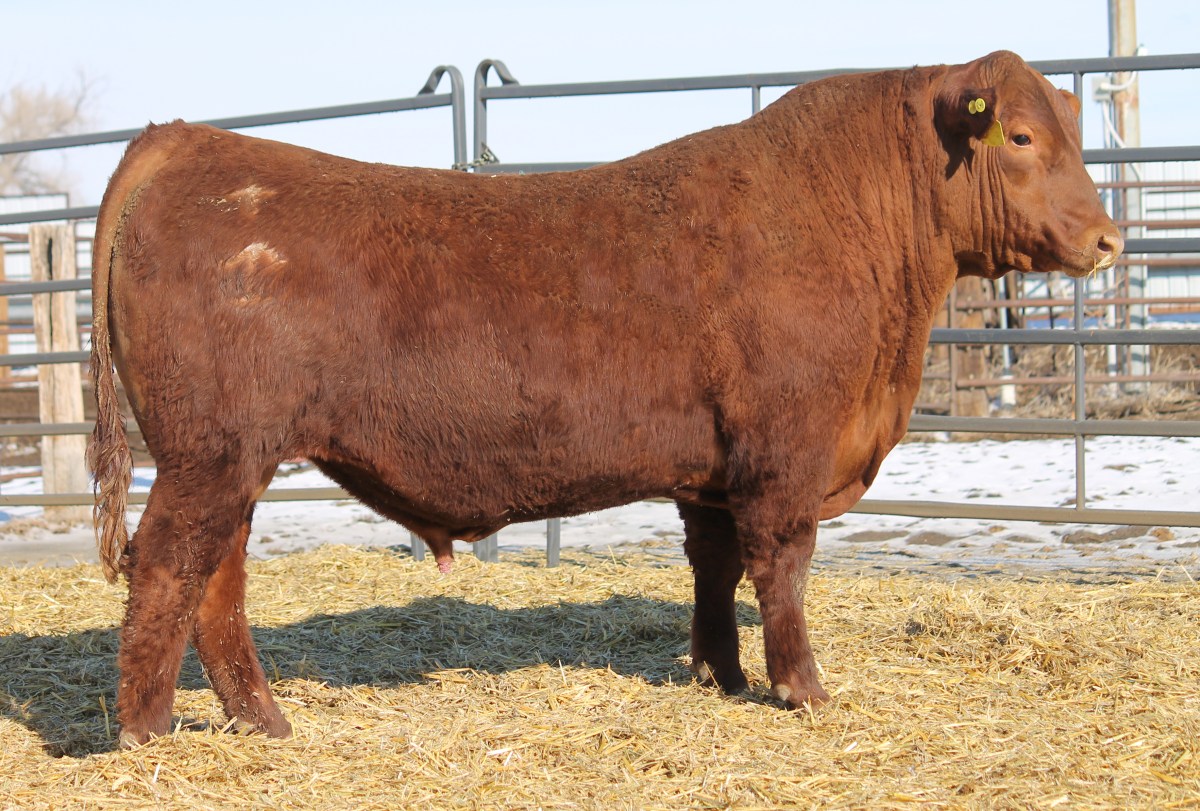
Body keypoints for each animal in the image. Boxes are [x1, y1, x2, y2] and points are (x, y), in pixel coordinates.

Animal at [88, 50, 1121, 748]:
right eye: (1021, 136)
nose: (1108, 239)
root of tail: (187, 140)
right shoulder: (785, 457)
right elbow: (781, 571)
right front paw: (802, 688)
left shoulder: (714, 469)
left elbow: (714, 568)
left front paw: (720, 673)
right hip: (210, 454)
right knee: (168, 568)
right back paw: (147, 733)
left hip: (234, 460)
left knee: (217, 580)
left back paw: (263, 721)